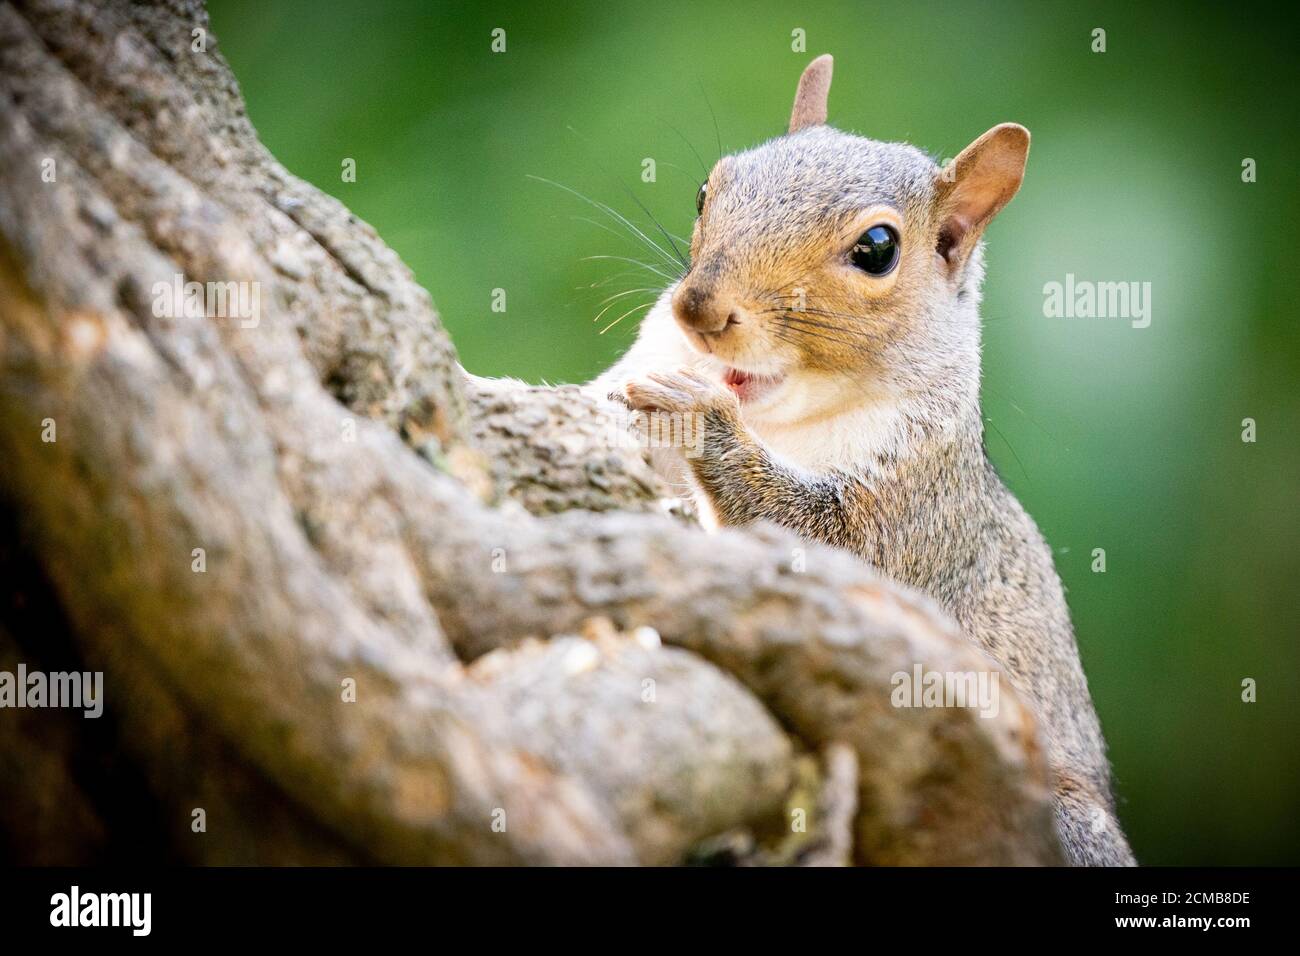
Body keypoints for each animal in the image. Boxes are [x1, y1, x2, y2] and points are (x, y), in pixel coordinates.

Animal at [589, 55, 1135, 866]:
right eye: (707, 190)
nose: (700, 309)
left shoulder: (918, 509)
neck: (783, 417)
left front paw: (703, 419)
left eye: (877, 249)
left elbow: (833, 545)